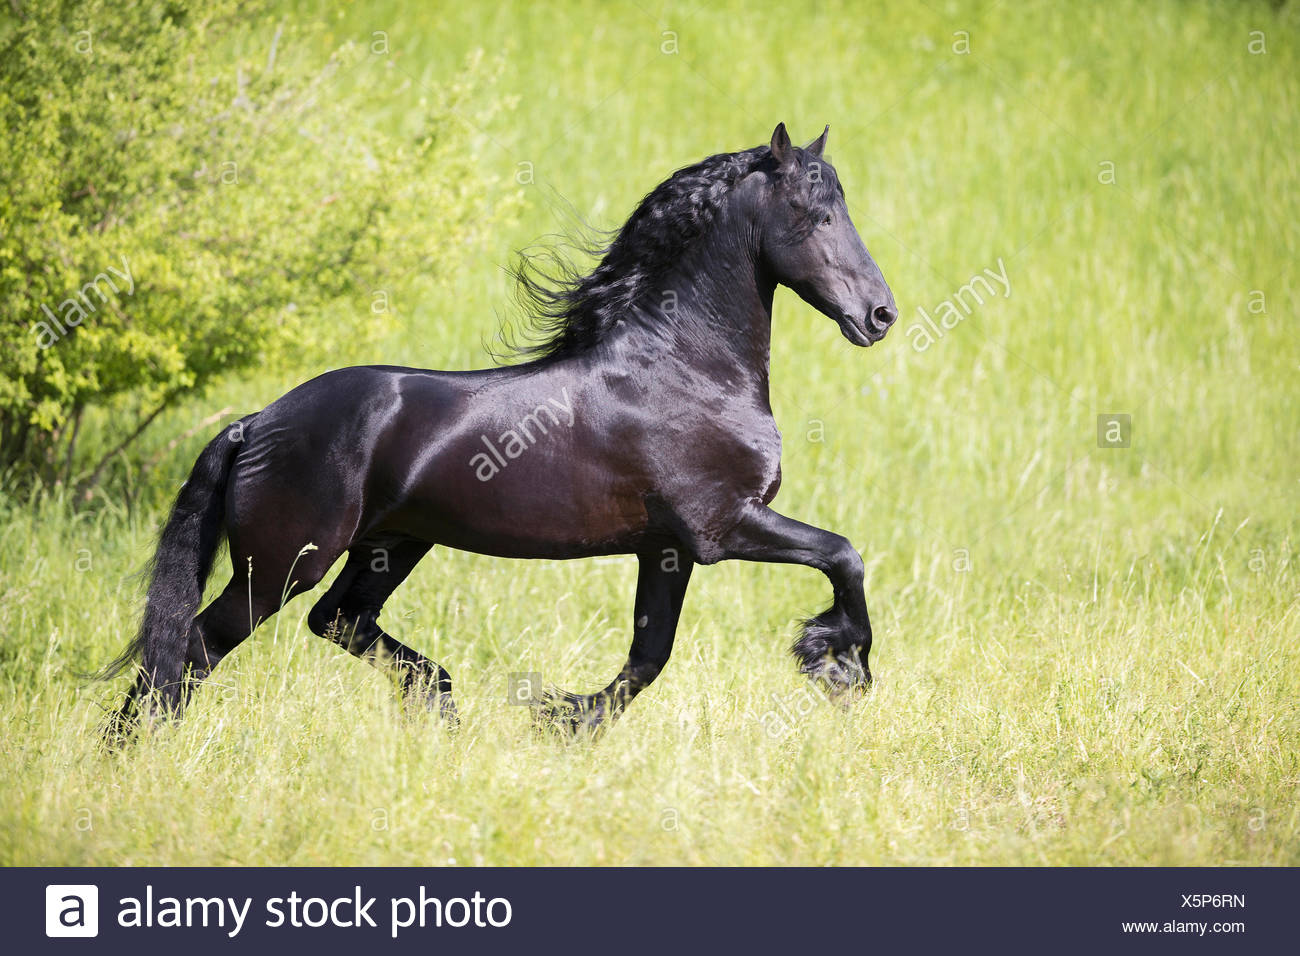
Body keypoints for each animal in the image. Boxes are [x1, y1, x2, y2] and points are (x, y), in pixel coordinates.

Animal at [101, 123, 898, 738]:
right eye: (816, 214)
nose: (880, 315)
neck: (682, 370)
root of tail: (255, 424)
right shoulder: (721, 526)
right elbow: (843, 555)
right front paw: (837, 663)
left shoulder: (667, 549)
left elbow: (648, 658)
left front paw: (564, 721)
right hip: (279, 566)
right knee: (193, 649)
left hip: (393, 545)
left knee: (335, 622)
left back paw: (441, 702)